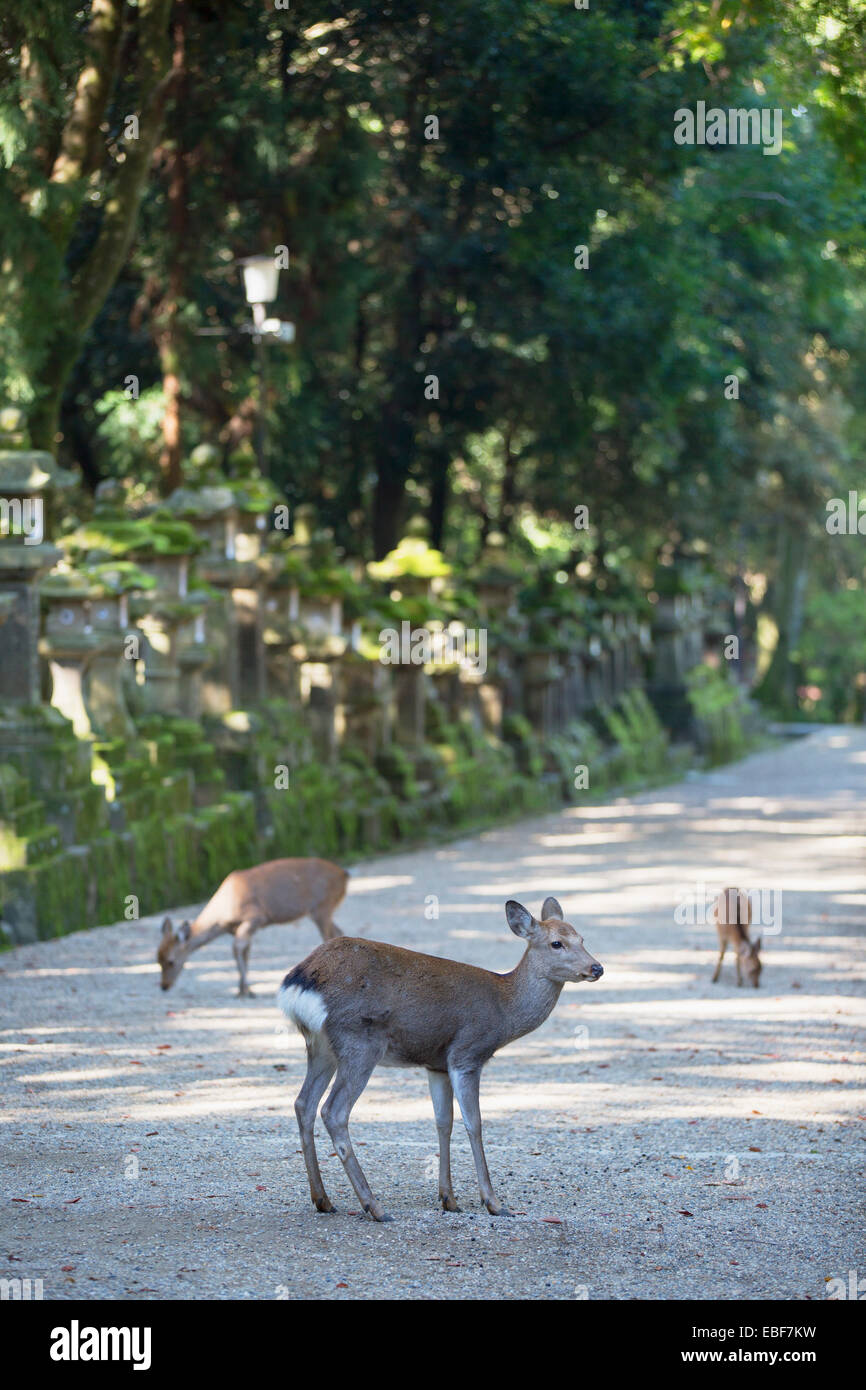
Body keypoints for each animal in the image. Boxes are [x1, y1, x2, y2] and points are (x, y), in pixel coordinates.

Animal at [157, 857, 348, 997]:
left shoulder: (254, 918)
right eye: (158, 959)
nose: (164, 986)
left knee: (328, 935)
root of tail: (344, 875)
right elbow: (245, 952)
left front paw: (245, 991)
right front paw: (243, 988)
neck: (223, 915)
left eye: (170, 961)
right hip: (325, 910)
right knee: (338, 932)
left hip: (322, 907)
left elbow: (237, 948)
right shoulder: (241, 928)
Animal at [278, 895, 603, 1222]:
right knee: (333, 1111)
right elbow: (475, 1122)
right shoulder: (467, 1053)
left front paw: (449, 1198)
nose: (596, 967)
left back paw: (323, 1200)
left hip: (321, 1046)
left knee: (303, 1103)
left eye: (582, 938)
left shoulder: (436, 1064)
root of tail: (299, 982)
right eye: (556, 943)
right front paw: (493, 1202)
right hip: (359, 1042)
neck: (504, 1010)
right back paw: (374, 1206)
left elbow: (443, 1121)